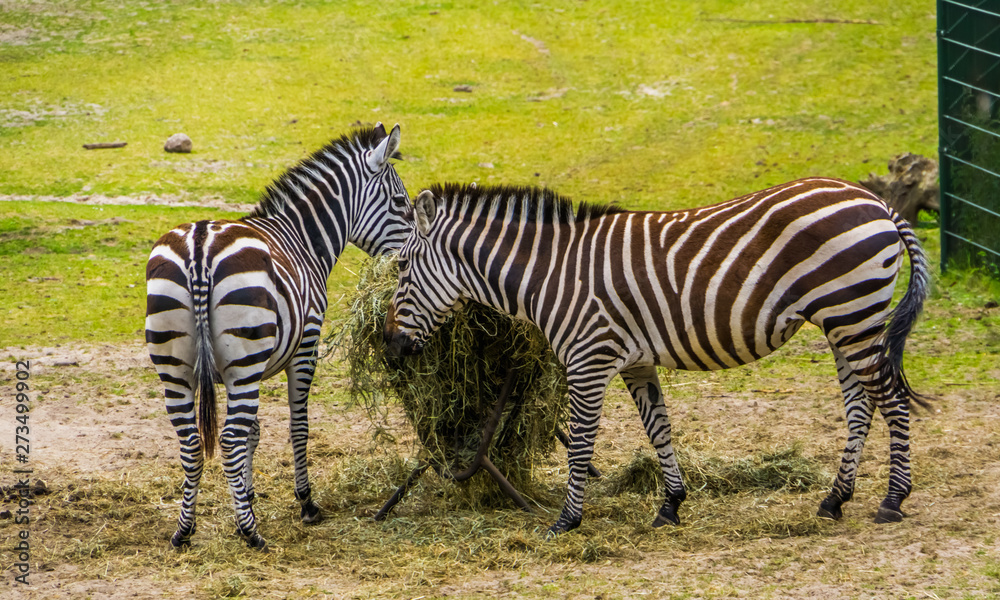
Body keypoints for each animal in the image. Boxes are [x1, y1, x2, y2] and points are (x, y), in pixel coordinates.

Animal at [146, 123, 410, 549]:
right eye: (401, 201)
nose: (412, 258)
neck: (303, 237)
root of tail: (200, 246)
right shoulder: (306, 348)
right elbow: (297, 427)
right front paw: (304, 504)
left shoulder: (238, 371)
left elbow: (253, 433)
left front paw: (248, 499)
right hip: (241, 361)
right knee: (228, 440)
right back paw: (251, 535)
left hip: (179, 366)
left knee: (192, 443)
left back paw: (185, 530)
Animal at [383, 178, 930, 535]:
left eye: (403, 267)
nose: (389, 349)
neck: (552, 273)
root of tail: (877, 201)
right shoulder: (635, 362)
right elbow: (658, 430)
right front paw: (671, 505)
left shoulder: (589, 359)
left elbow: (581, 445)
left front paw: (567, 520)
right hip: (845, 322)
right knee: (861, 406)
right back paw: (835, 499)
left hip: (853, 315)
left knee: (893, 401)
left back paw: (893, 500)